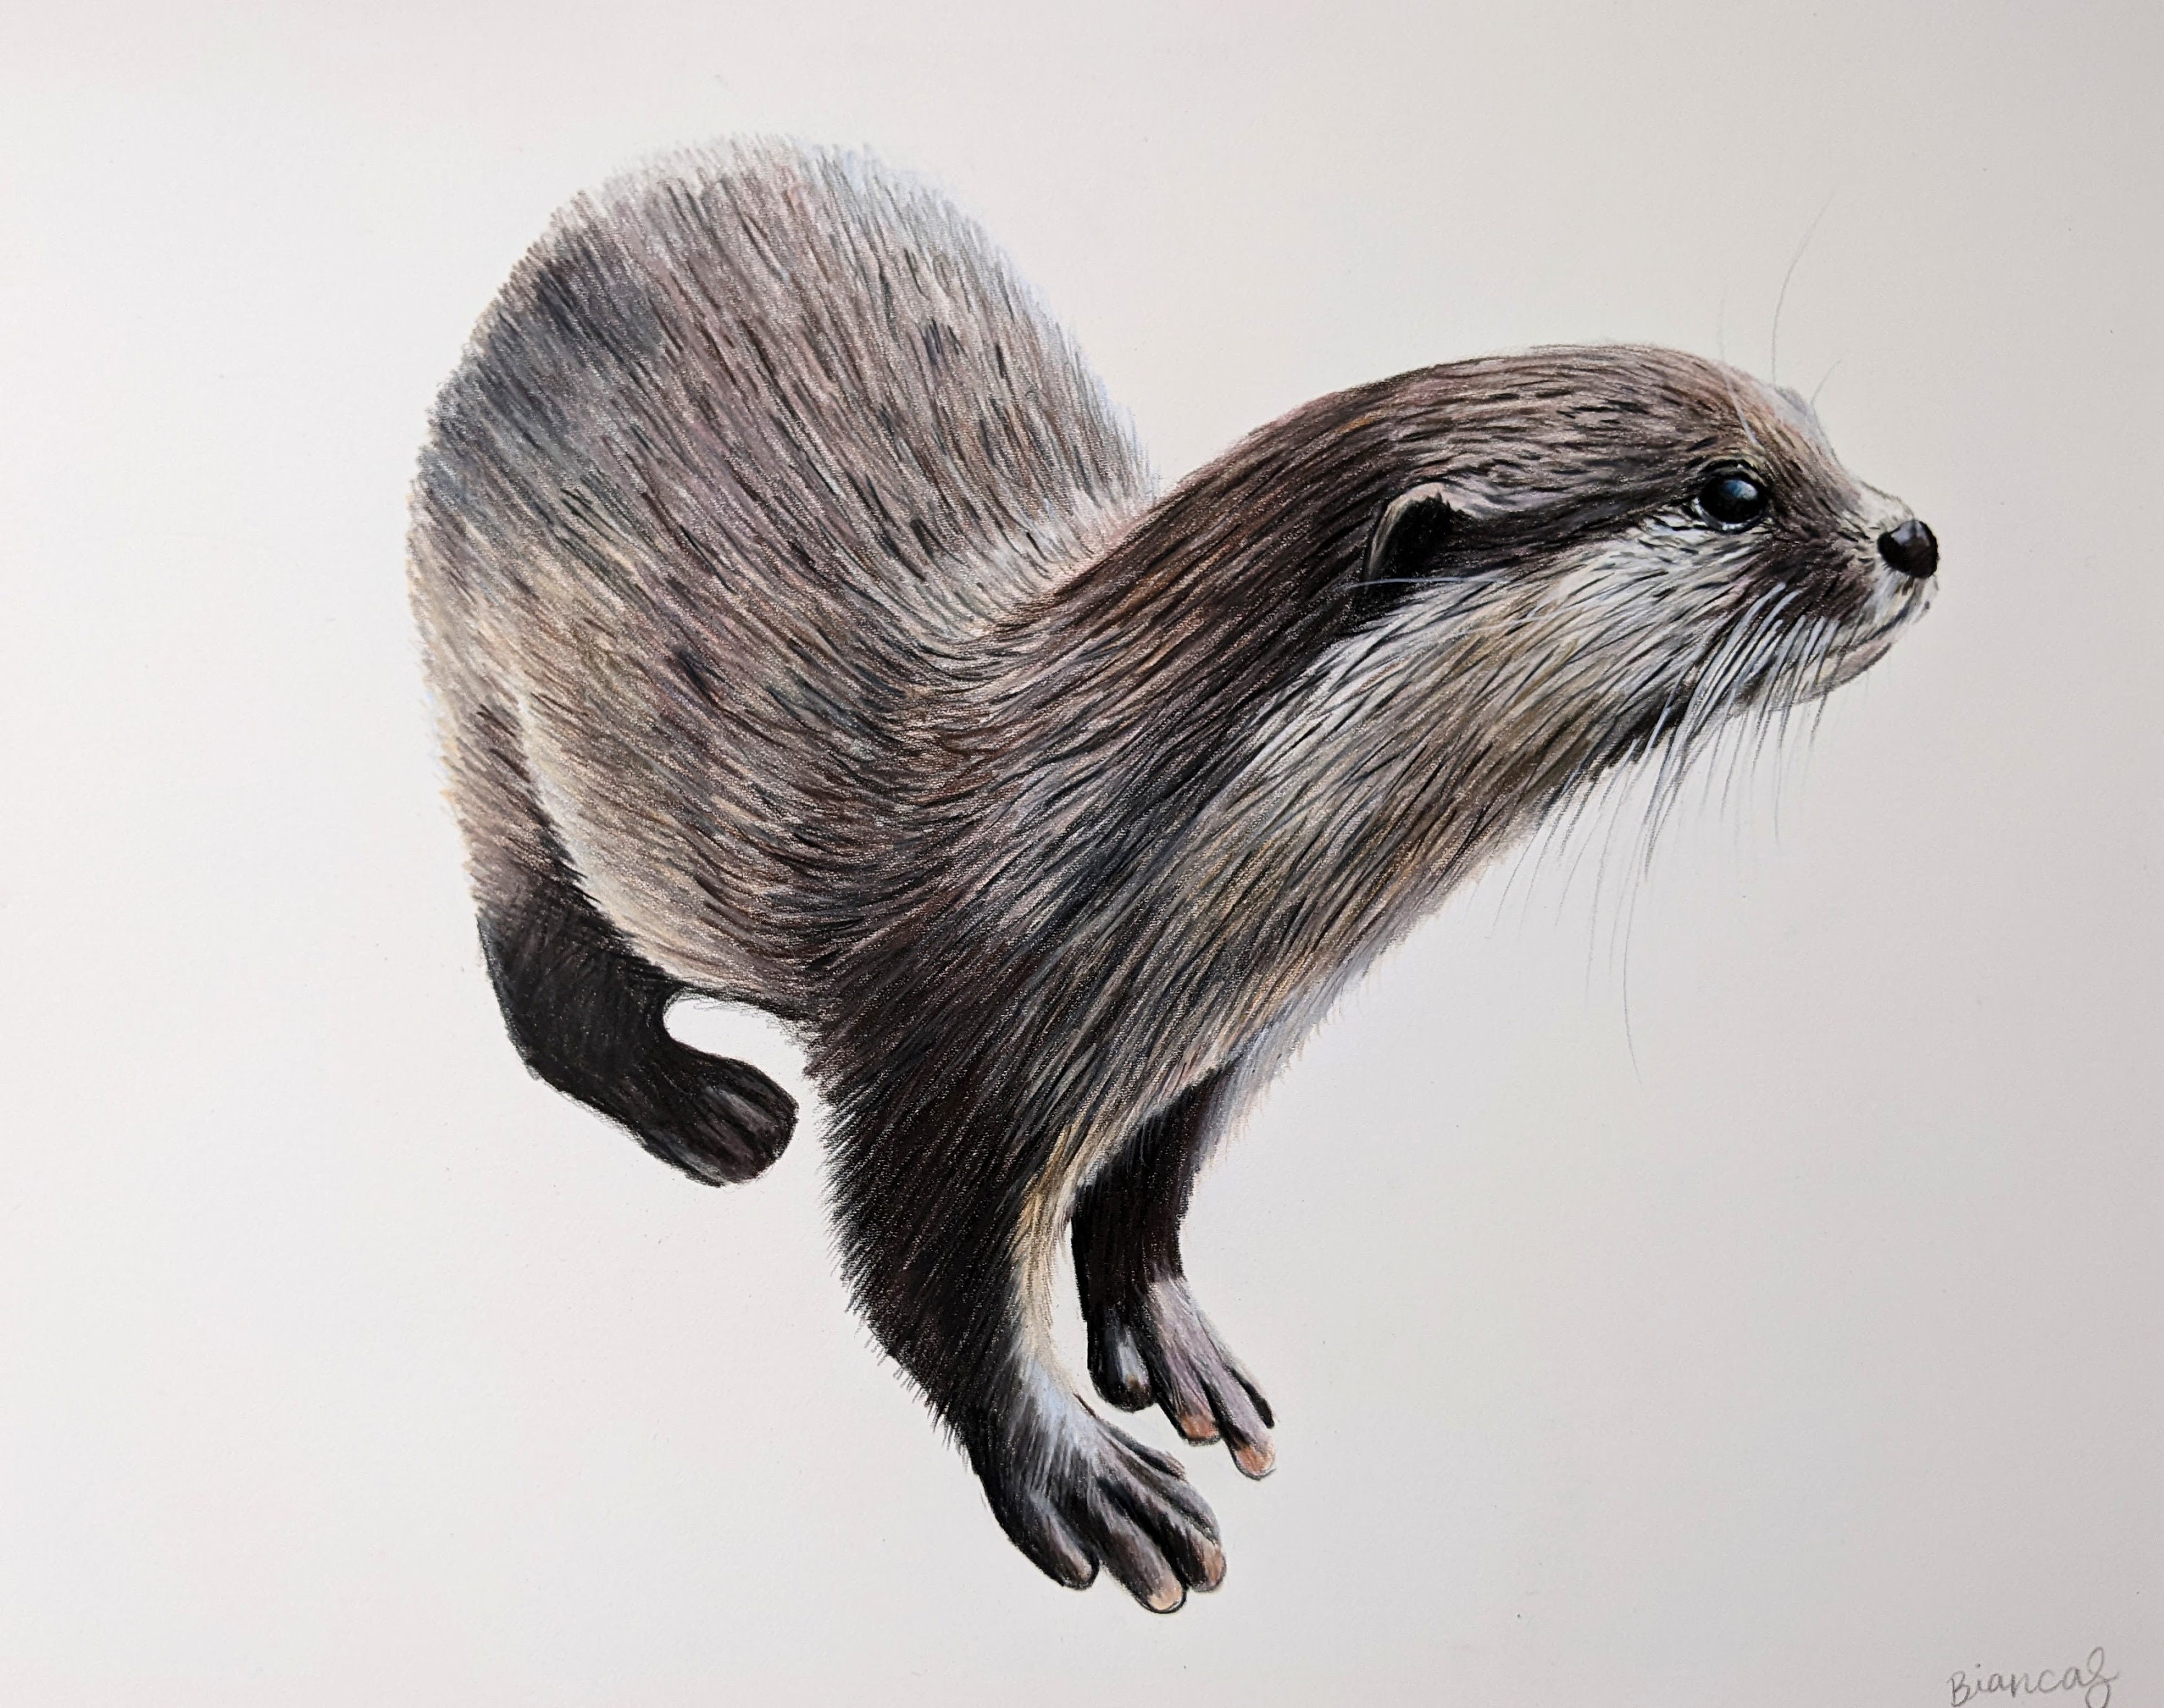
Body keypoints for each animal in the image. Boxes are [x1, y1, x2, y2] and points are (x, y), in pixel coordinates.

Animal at [408, 140, 1936, 1611]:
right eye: (1730, 491)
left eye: (1812, 424)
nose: (1909, 536)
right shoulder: (945, 1046)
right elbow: (930, 1287)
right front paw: (1083, 1478)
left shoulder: (1231, 1045)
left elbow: (1149, 1190)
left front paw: (1168, 1339)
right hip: (490, 708)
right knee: (538, 964)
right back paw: (705, 1104)